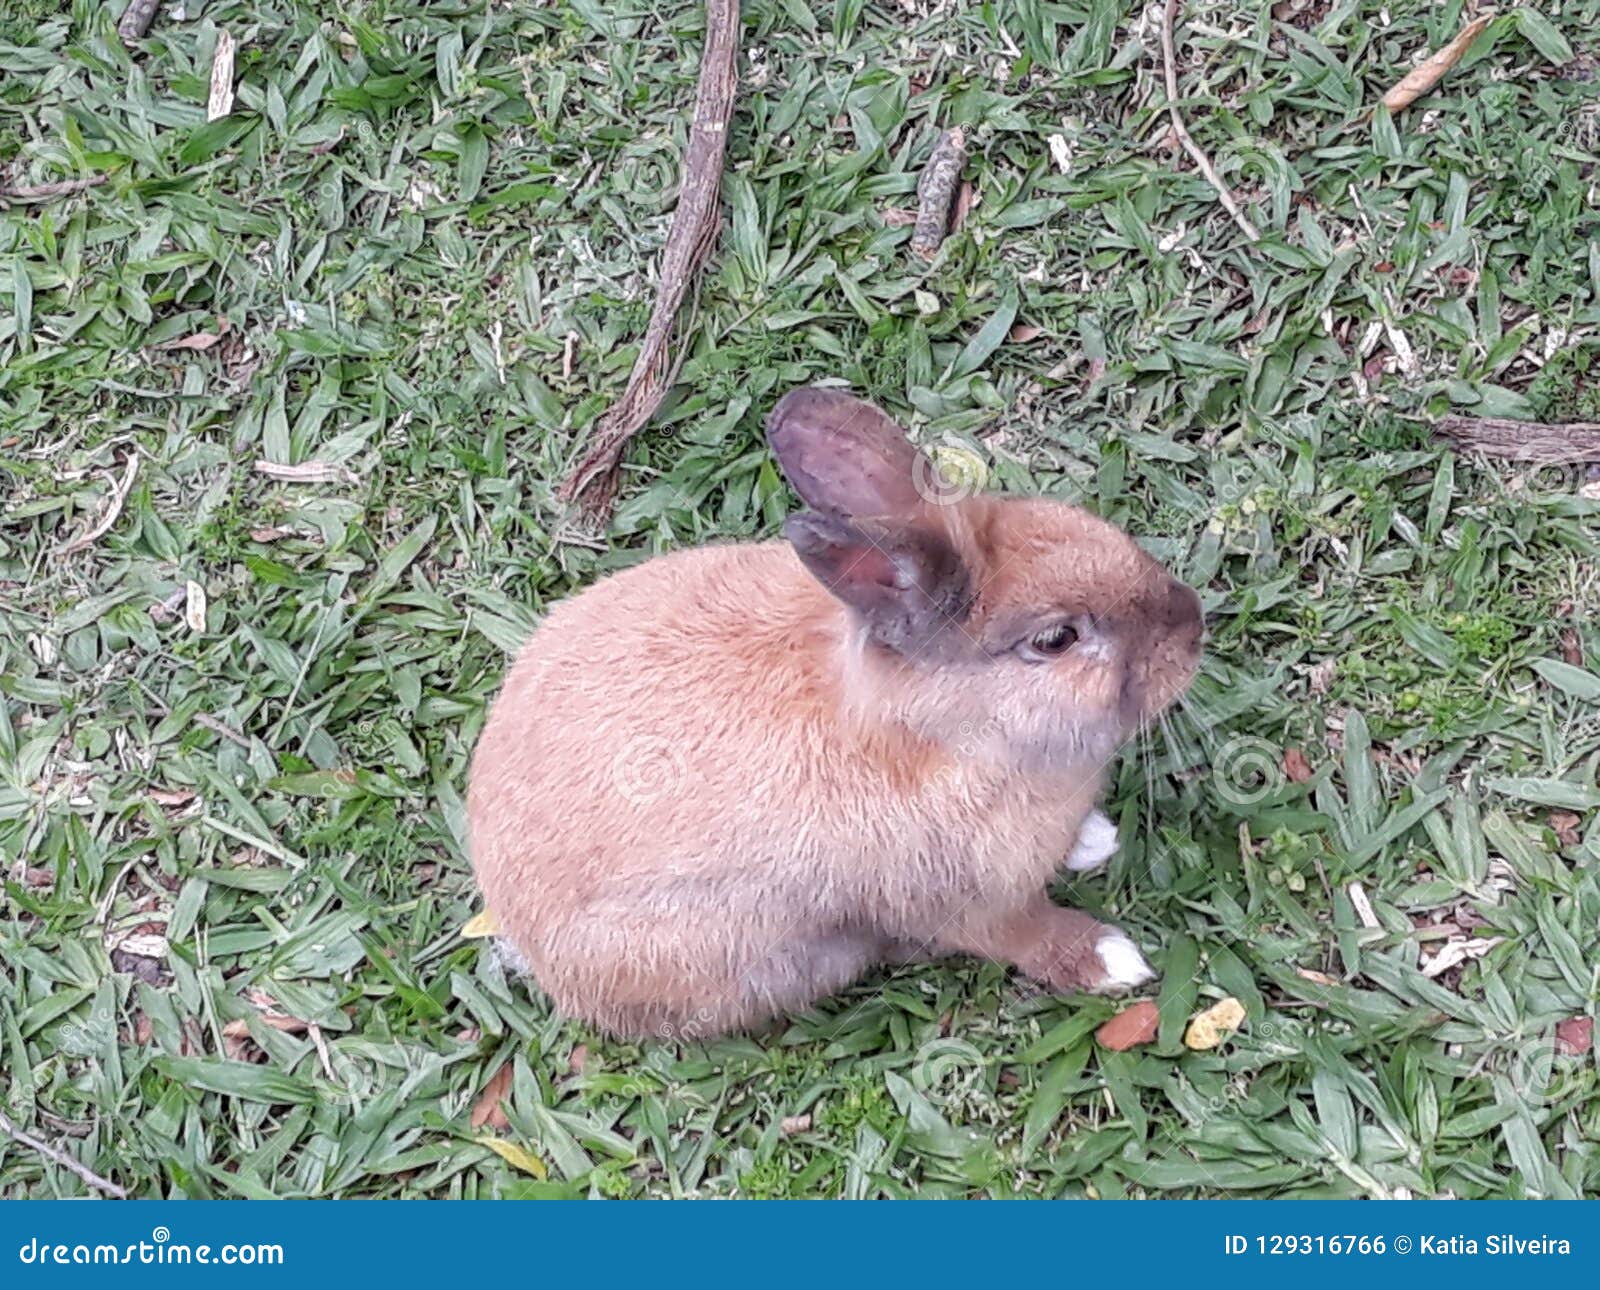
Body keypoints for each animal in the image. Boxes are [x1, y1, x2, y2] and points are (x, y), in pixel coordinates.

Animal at [468, 385, 1204, 1040]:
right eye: (1056, 639)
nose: (1193, 623)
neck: (946, 736)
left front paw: (1093, 839)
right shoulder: (967, 904)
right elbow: (1030, 937)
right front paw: (1113, 962)